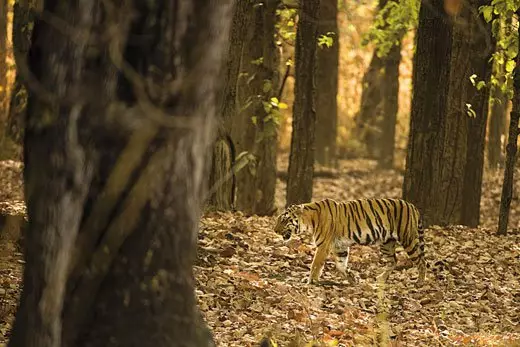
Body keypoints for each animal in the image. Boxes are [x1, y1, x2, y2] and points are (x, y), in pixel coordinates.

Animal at [272, 197, 426, 286]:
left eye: (284, 220)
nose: (274, 230)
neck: (310, 221)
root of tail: (412, 206)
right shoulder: (340, 247)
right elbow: (341, 266)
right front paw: (353, 278)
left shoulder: (323, 246)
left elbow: (315, 265)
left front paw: (310, 281)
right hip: (387, 243)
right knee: (394, 260)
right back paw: (381, 279)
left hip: (408, 239)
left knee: (421, 261)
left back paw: (420, 282)